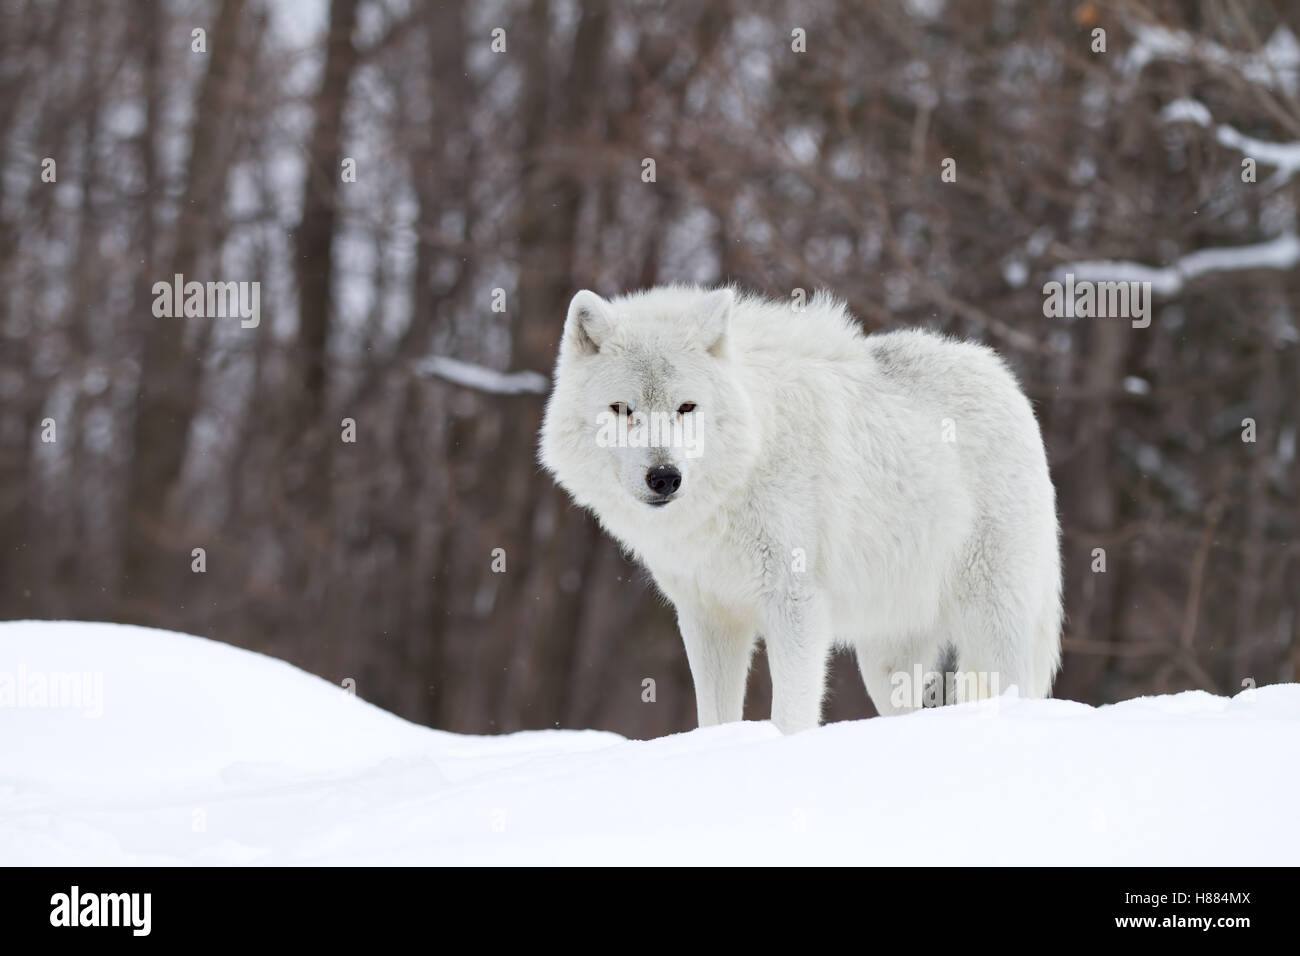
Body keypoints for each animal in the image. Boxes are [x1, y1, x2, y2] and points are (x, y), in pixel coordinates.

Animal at [539, 285, 1061, 733]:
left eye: (687, 407)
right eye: (622, 409)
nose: (665, 477)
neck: (745, 468)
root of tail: (1005, 379)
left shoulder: (795, 603)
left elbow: (790, 715)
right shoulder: (707, 615)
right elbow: (715, 717)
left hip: (992, 626)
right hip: (887, 658)